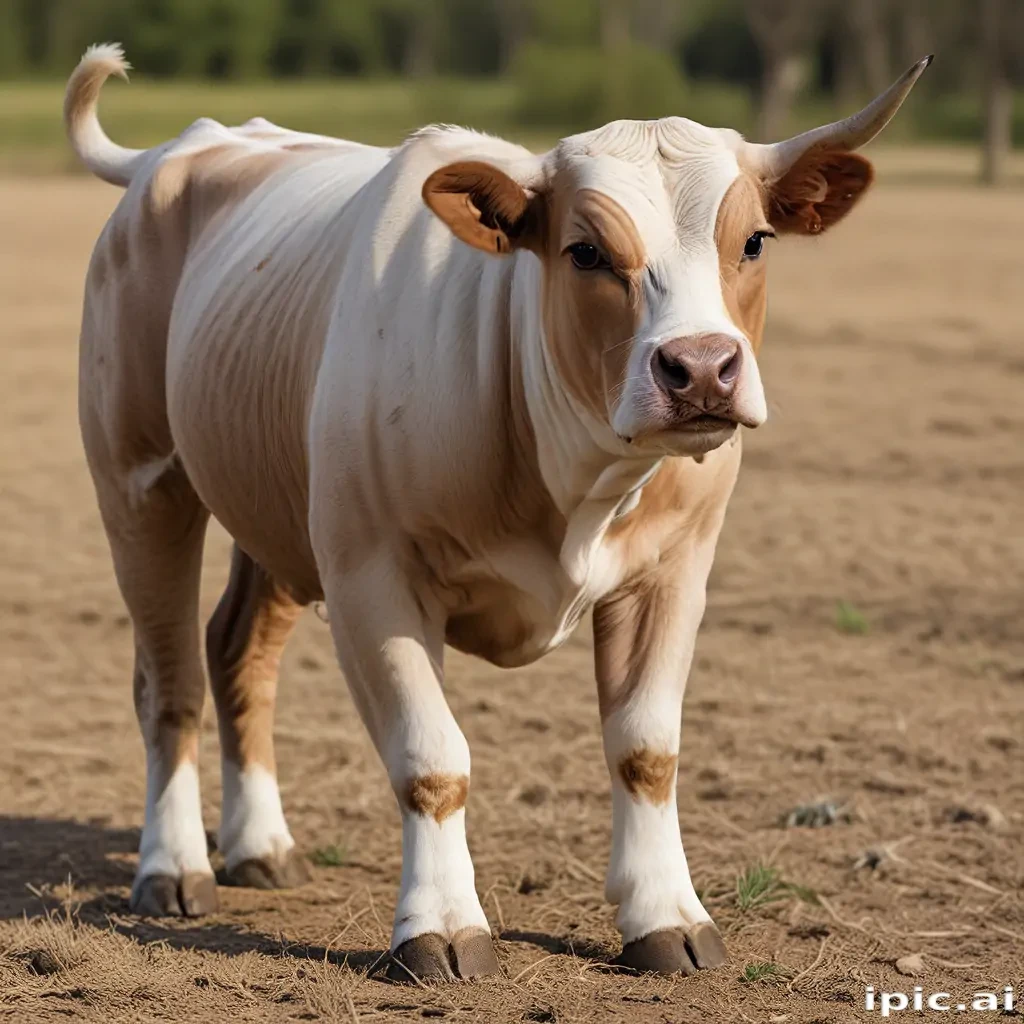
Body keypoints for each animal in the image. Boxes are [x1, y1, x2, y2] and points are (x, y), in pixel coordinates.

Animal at [65, 43, 930, 980]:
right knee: (170, 682)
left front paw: (666, 915)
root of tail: (185, 148)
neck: (574, 477)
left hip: (273, 506)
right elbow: (431, 761)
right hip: (141, 484)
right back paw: (173, 866)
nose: (700, 367)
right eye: (585, 251)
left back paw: (260, 846)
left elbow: (647, 751)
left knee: (237, 651)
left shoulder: (673, 574)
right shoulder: (372, 577)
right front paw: (441, 924)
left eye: (755, 241)